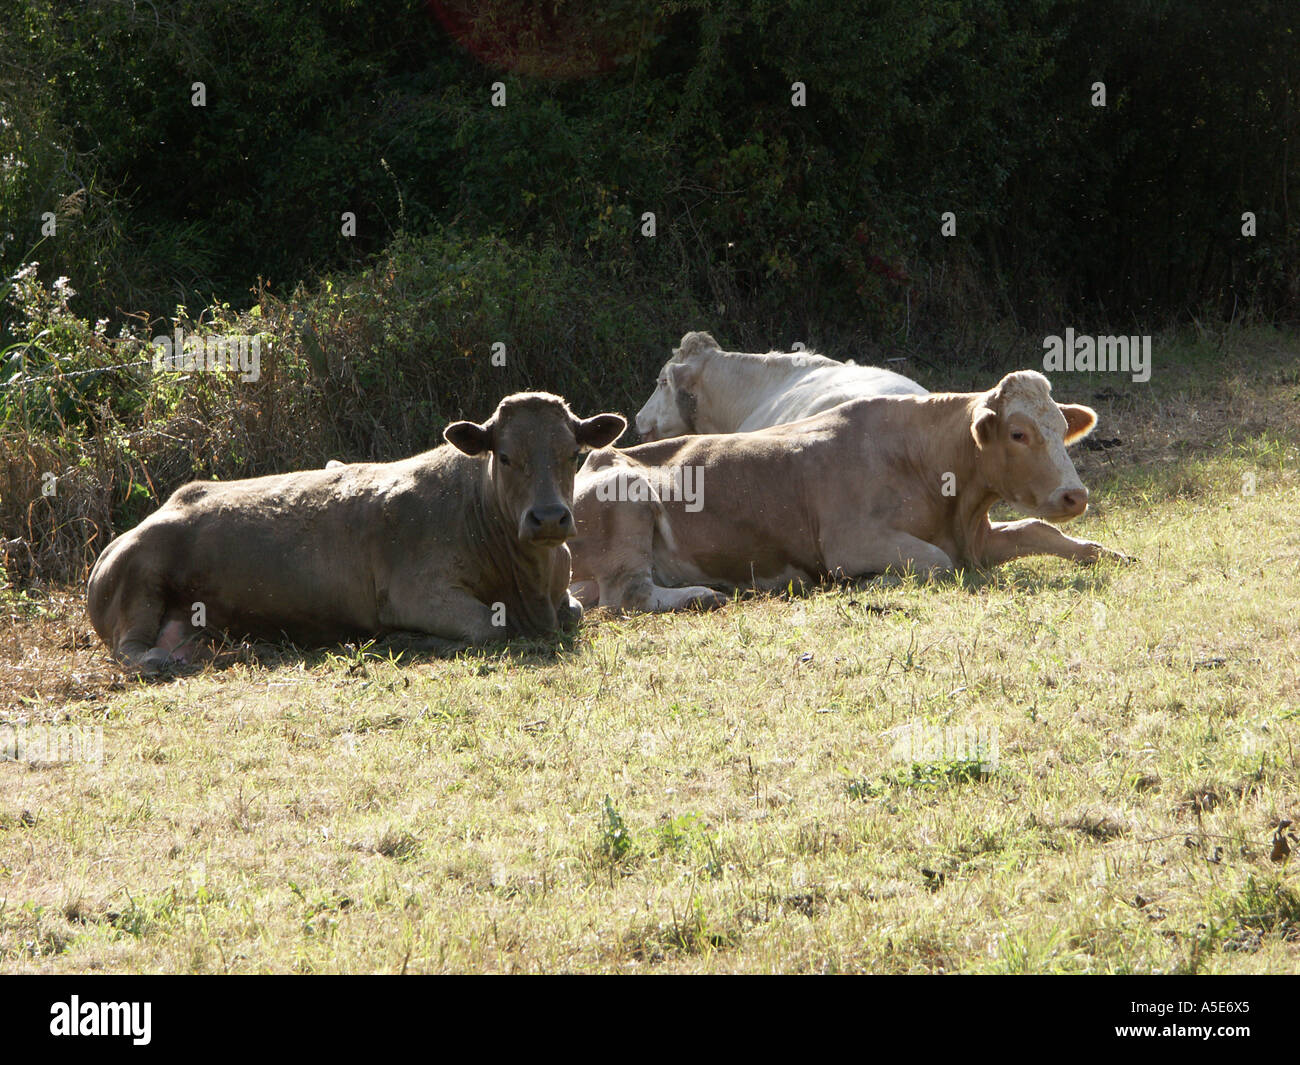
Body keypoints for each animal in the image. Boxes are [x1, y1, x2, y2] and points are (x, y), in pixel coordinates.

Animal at [87, 392, 626, 671]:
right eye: (507, 456)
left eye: (573, 453)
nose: (549, 517)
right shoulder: (418, 591)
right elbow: (486, 627)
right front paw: (405, 639)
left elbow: (576, 610)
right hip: (140, 581)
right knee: (133, 652)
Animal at [570, 370, 1126, 612]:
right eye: (1018, 434)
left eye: (1061, 426)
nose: (1075, 496)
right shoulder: (852, 542)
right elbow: (938, 564)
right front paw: (868, 583)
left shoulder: (975, 534)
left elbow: (1037, 528)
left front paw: (1107, 552)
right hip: (626, 499)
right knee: (629, 593)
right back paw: (700, 595)